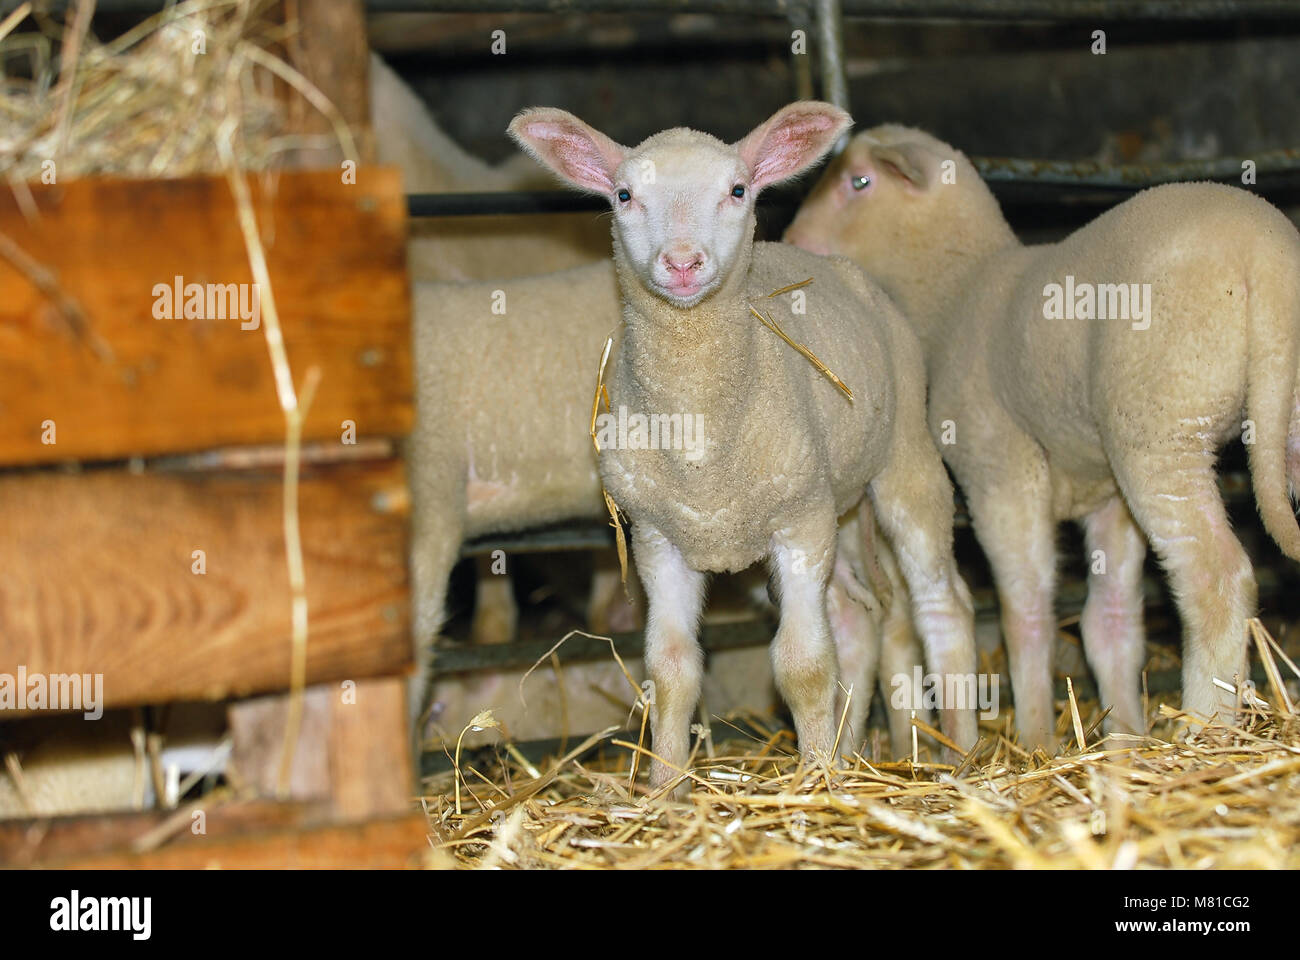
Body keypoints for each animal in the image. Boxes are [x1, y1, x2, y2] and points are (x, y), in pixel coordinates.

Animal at [509, 103, 978, 792]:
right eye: (624, 195)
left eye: (736, 191)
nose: (682, 264)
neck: (702, 442)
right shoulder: (659, 539)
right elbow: (672, 670)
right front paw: (666, 788)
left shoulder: (800, 523)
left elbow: (804, 665)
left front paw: (814, 780)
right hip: (835, 507)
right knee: (856, 621)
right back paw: (851, 754)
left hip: (902, 464)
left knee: (942, 604)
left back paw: (959, 755)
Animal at [784, 124, 1300, 748]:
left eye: (858, 181)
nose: (790, 239)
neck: (955, 287)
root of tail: (1264, 256)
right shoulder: (1105, 493)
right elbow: (1110, 623)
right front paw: (1122, 739)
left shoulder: (1000, 468)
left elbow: (1026, 609)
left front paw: (1035, 738)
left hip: (1159, 427)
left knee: (1216, 578)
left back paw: (1206, 728)